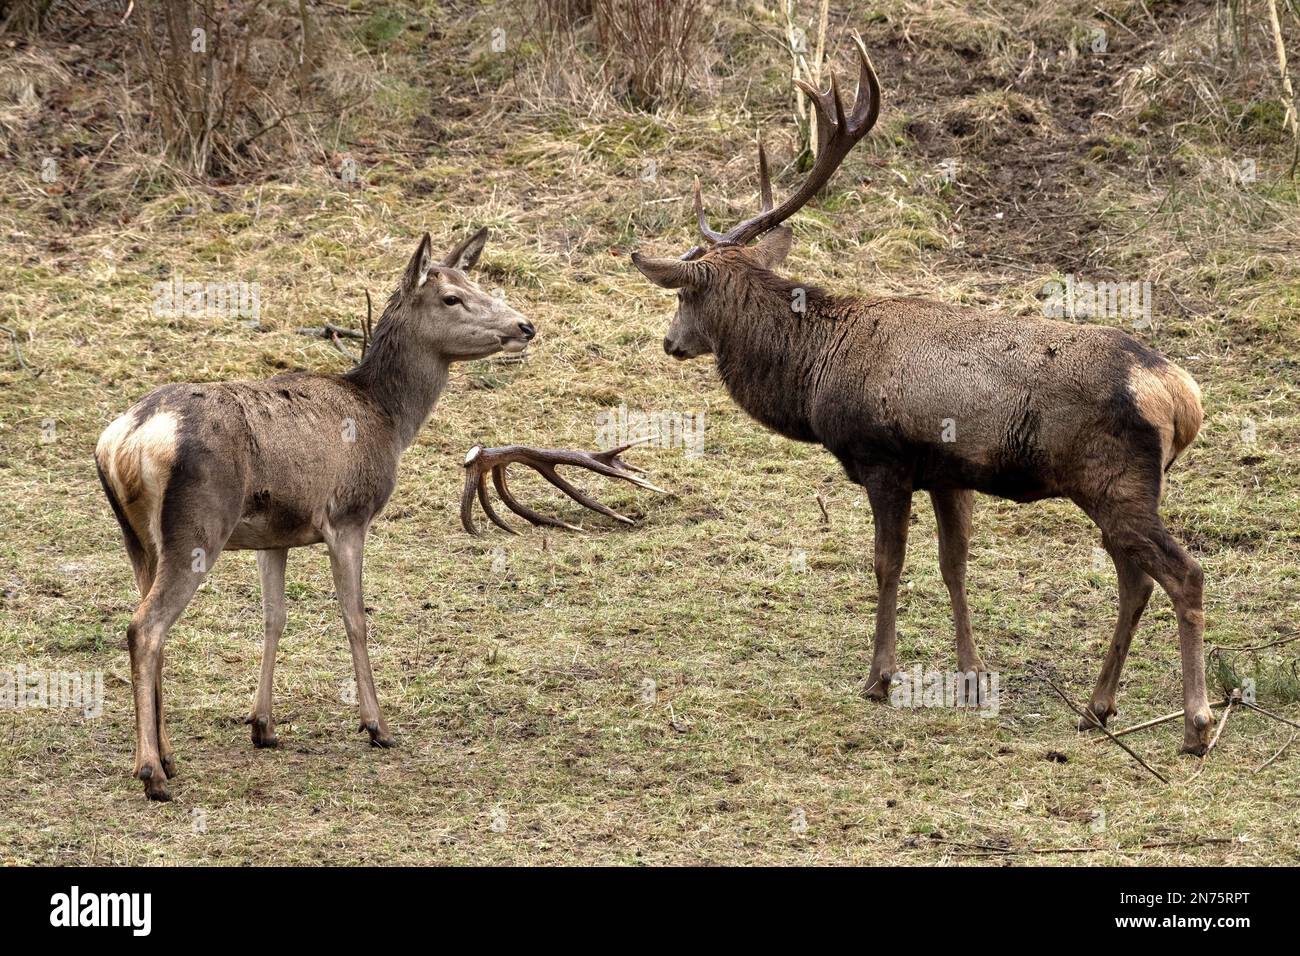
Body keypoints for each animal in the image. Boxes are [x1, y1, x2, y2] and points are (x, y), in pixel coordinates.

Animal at [95, 228, 536, 800]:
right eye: (451, 297)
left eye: (475, 283)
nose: (525, 326)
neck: (387, 420)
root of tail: (126, 441)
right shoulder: (348, 516)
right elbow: (355, 617)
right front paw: (377, 726)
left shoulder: (273, 536)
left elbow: (273, 618)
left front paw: (263, 726)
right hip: (196, 528)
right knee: (145, 627)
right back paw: (151, 773)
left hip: (137, 539)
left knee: (151, 627)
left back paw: (167, 758)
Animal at [629, 36, 1212, 755]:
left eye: (684, 294)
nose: (670, 342)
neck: (817, 371)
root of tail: (1181, 398)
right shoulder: (949, 473)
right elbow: (954, 565)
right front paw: (972, 674)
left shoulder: (885, 460)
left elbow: (888, 564)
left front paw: (879, 677)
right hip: (1112, 490)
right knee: (1135, 581)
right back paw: (1096, 708)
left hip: (1117, 480)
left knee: (1182, 574)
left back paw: (1195, 724)